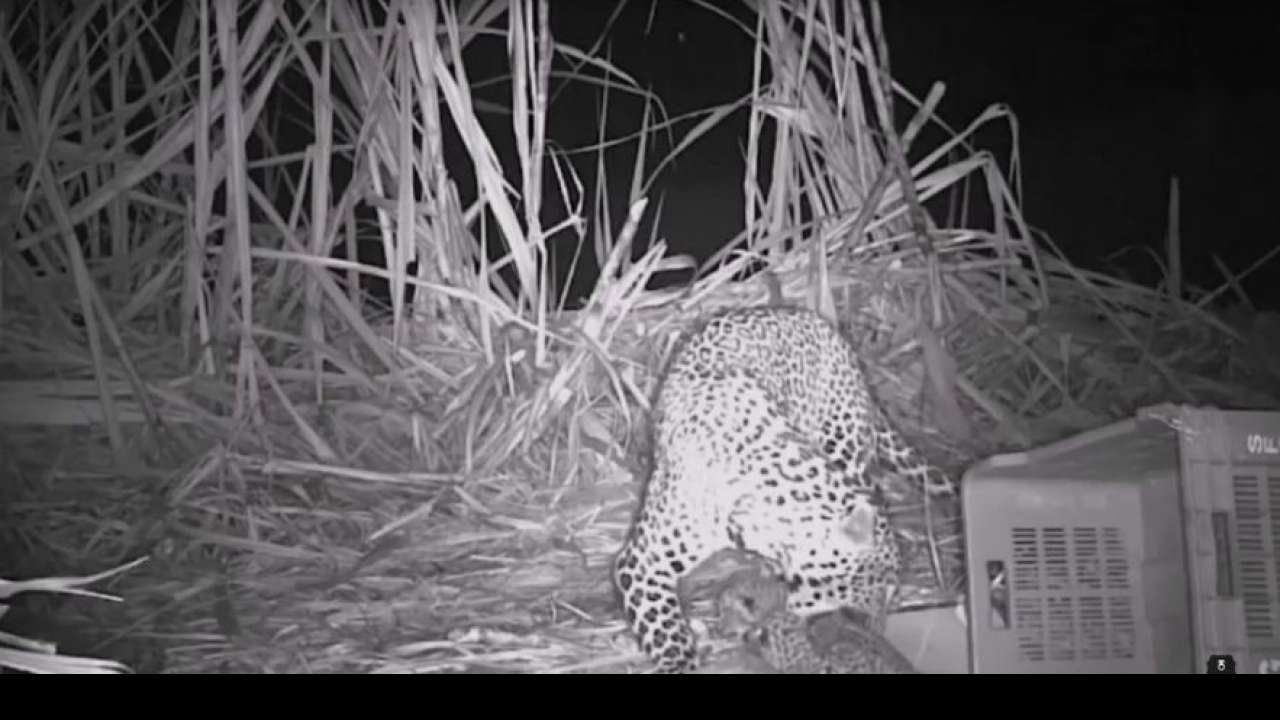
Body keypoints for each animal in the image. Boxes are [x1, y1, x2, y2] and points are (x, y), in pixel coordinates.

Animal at [612, 306, 955, 673]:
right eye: (861, 598)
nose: (873, 630)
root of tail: (804, 314)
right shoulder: (641, 564)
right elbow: (669, 637)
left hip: (845, 444)